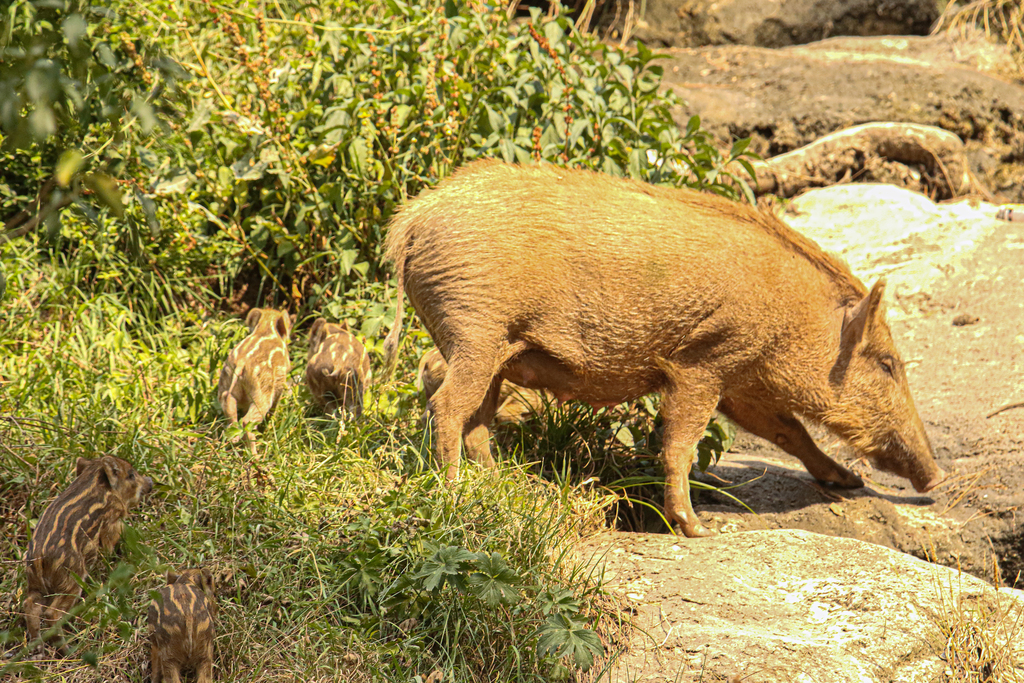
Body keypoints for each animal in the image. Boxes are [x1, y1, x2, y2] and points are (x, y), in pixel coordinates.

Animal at [24, 456, 153, 652]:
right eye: (130, 475)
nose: (150, 482)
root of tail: (39, 559)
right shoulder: (111, 522)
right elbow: (111, 541)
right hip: (71, 581)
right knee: (52, 614)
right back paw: (68, 650)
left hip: (36, 584)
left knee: (30, 605)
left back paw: (37, 645)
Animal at [217, 307, 291, 458]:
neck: (265, 327)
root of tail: (241, 363)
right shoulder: (280, 382)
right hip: (262, 394)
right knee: (247, 420)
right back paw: (256, 456)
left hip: (226, 383)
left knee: (229, 404)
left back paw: (234, 440)